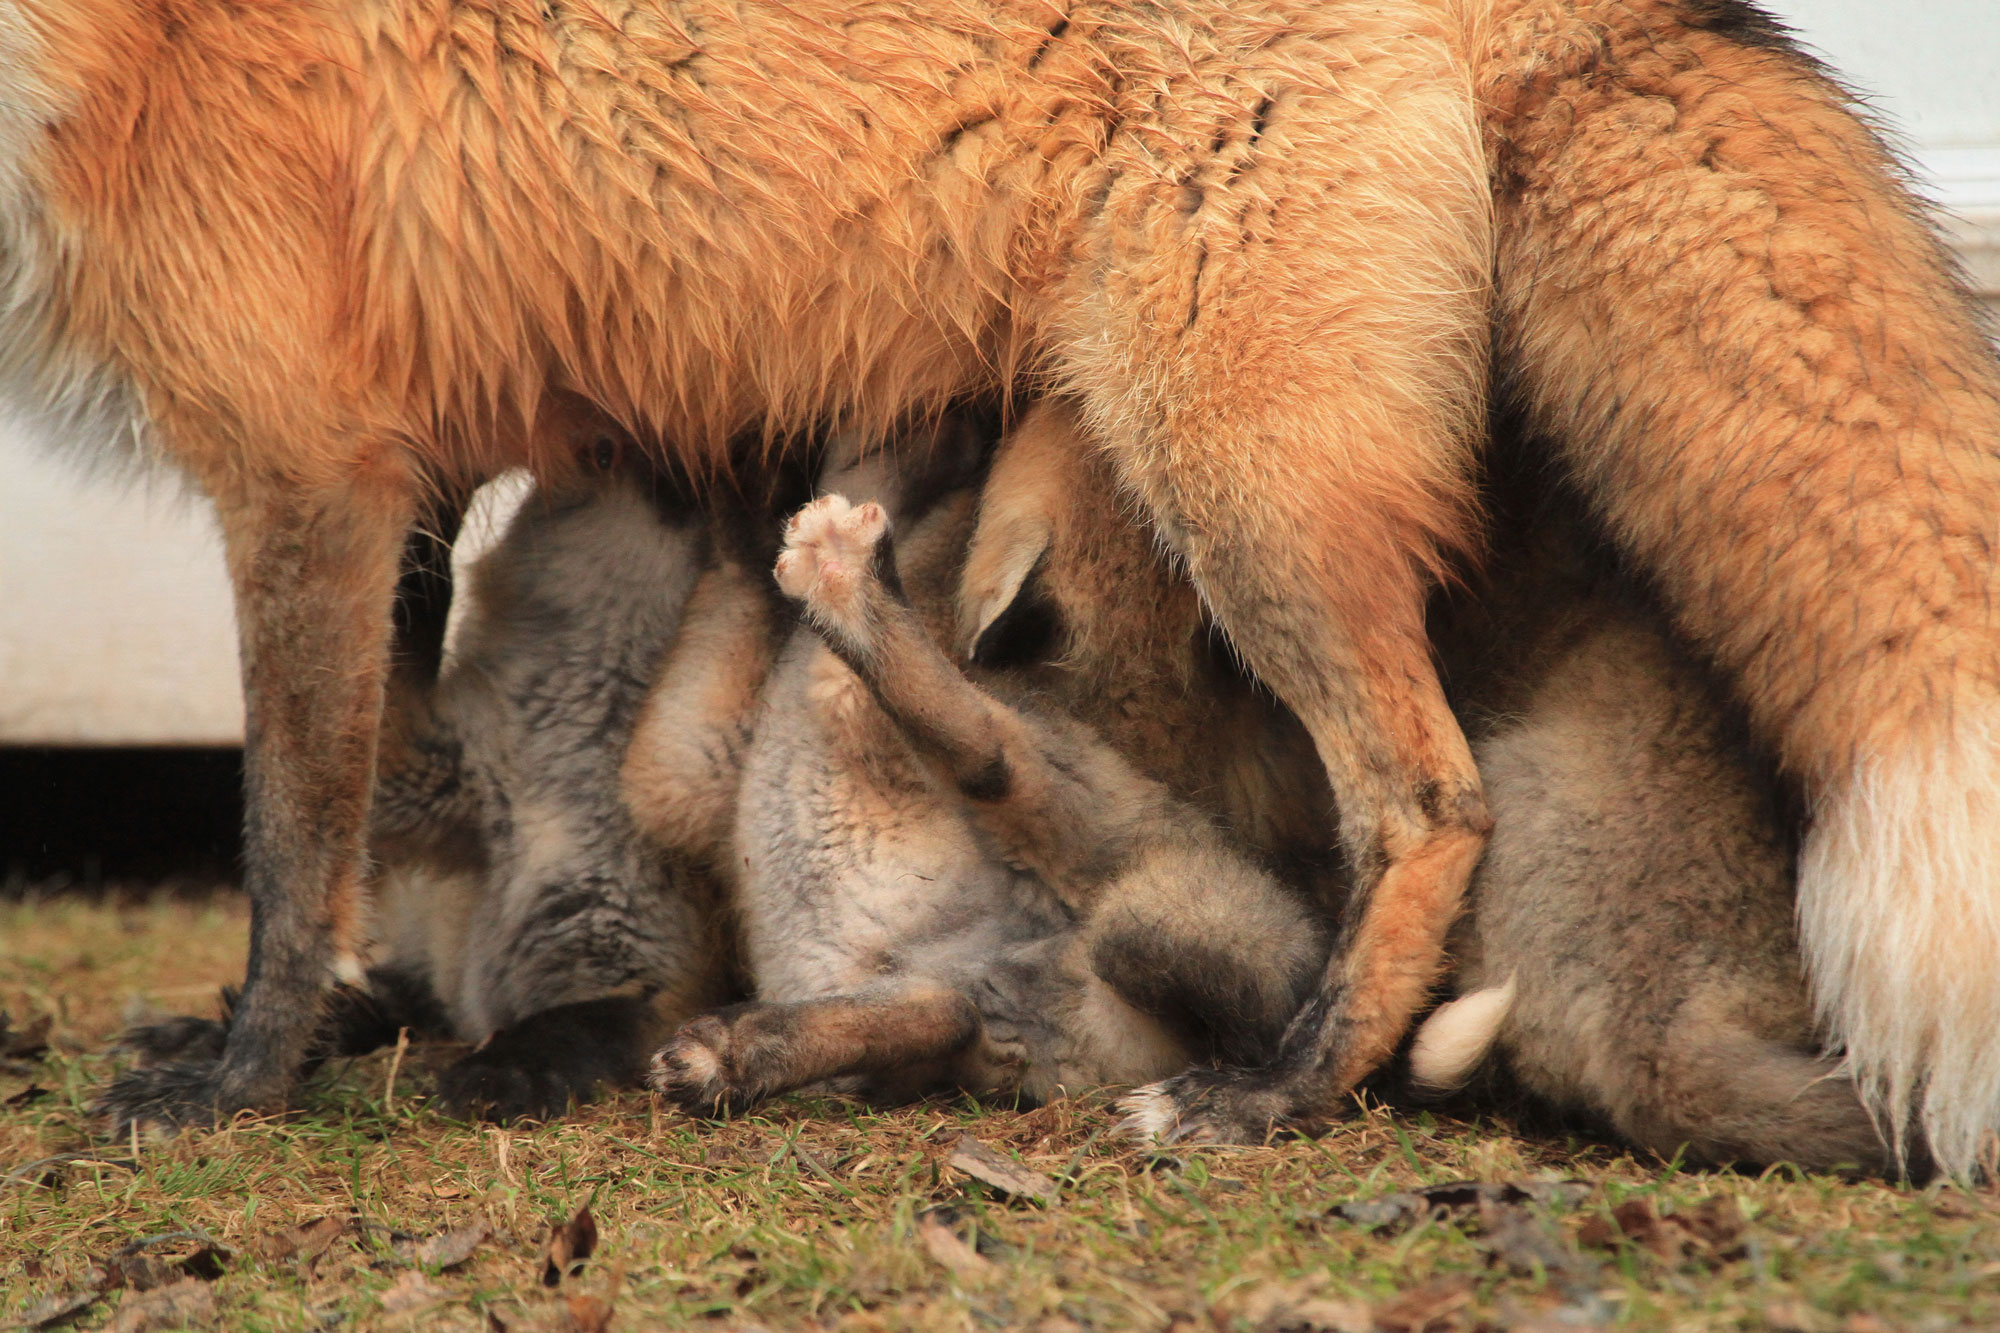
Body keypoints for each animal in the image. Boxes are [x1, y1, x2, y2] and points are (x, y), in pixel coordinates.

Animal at [651, 404, 1336, 1112]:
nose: (954, 425)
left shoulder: (829, 699)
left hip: (1099, 841)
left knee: (988, 757)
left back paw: (848, 586)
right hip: (997, 994)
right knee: (948, 1011)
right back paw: (732, 1055)